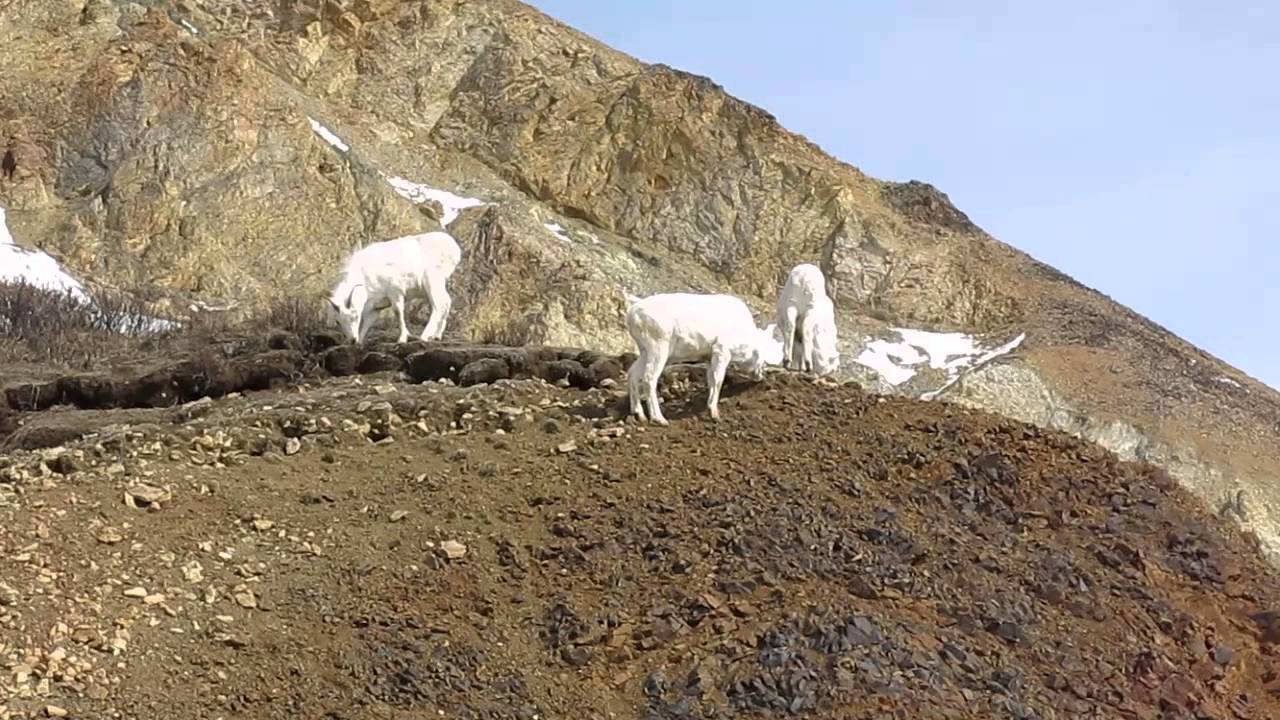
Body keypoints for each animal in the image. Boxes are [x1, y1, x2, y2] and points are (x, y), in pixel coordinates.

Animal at [326, 231, 461, 344]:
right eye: (338, 321)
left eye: (354, 317)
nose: (352, 340)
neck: (366, 274)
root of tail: (454, 247)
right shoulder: (375, 307)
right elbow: (368, 323)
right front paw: (360, 342)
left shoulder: (395, 292)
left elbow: (398, 312)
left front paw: (402, 339)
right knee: (446, 302)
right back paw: (437, 336)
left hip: (432, 282)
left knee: (438, 306)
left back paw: (424, 337)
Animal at [623, 291, 783, 425]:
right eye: (763, 363)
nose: (761, 377)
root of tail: (634, 310)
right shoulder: (722, 351)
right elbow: (718, 380)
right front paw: (714, 413)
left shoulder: (710, 357)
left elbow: (711, 379)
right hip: (658, 348)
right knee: (649, 378)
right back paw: (659, 418)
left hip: (645, 351)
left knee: (633, 373)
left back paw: (639, 414)